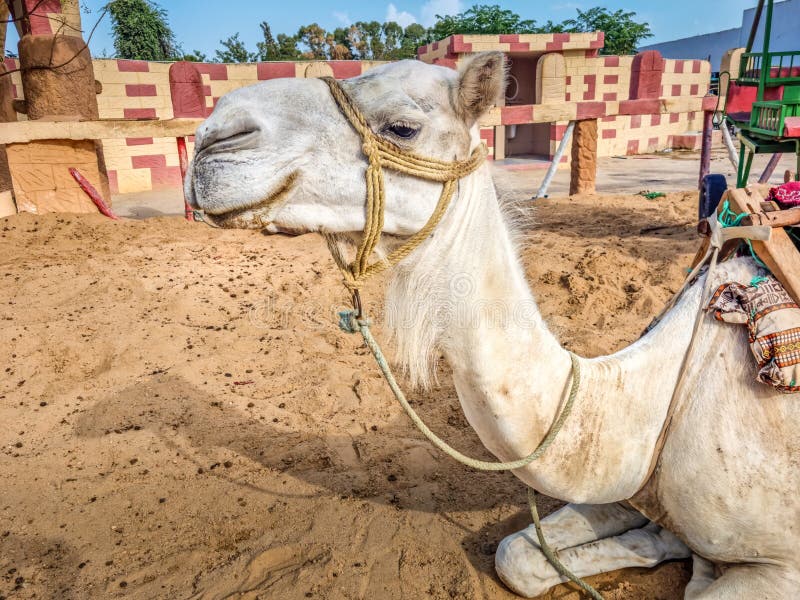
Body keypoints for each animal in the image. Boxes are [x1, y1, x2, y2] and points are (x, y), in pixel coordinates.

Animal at [184, 52, 800, 598]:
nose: (212, 136)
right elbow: (517, 554)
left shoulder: (781, 569)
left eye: (402, 127)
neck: (660, 399)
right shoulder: (619, 485)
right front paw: (659, 544)